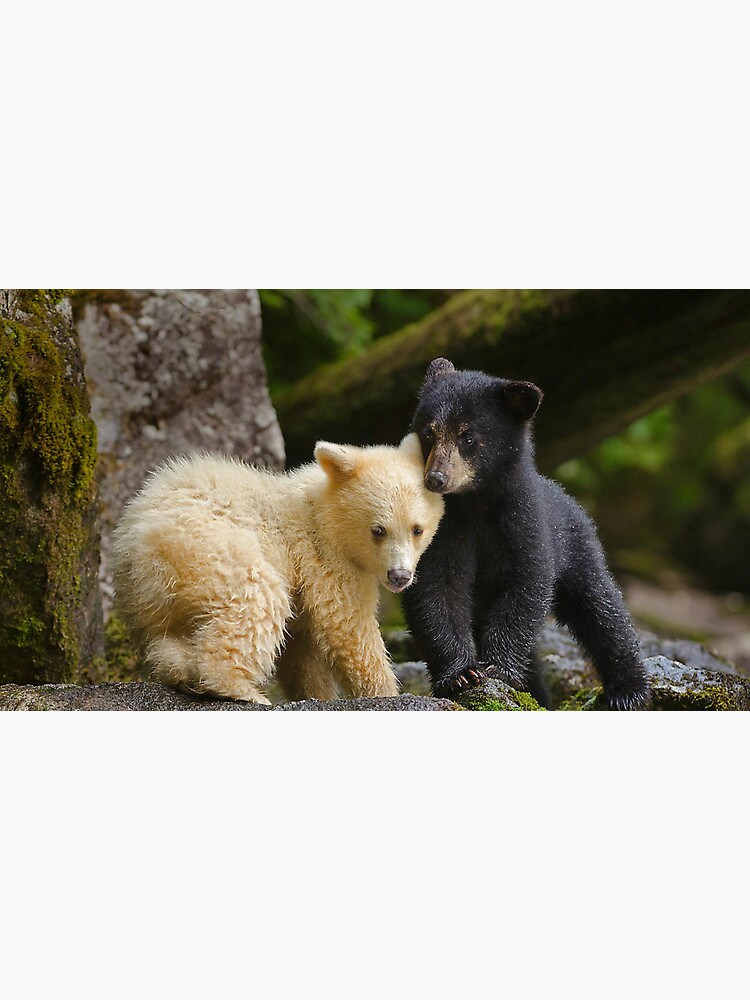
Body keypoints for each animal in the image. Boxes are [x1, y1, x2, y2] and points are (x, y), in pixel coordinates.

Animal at [111, 434, 443, 704]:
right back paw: (239, 689)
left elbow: (302, 651)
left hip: (159, 598)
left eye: (417, 529)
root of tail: (134, 547)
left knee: (168, 636)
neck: (324, 514)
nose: (399, 576)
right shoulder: (324, 558)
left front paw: (316, 694)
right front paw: (384, 691)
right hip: (208, 548)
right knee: (257, 598)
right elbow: (348, 625)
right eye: (378, 530)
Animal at [401, 358, 651, 710]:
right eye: (428, 433)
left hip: (578, 548)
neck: (475, 502)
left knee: (602, 609)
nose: (436, 478)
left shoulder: (524, 521)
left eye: (468, 437)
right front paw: (460, 675)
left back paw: (628, 690)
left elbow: (526, 580)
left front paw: (497, 668)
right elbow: (436, 588)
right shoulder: (441, 529)